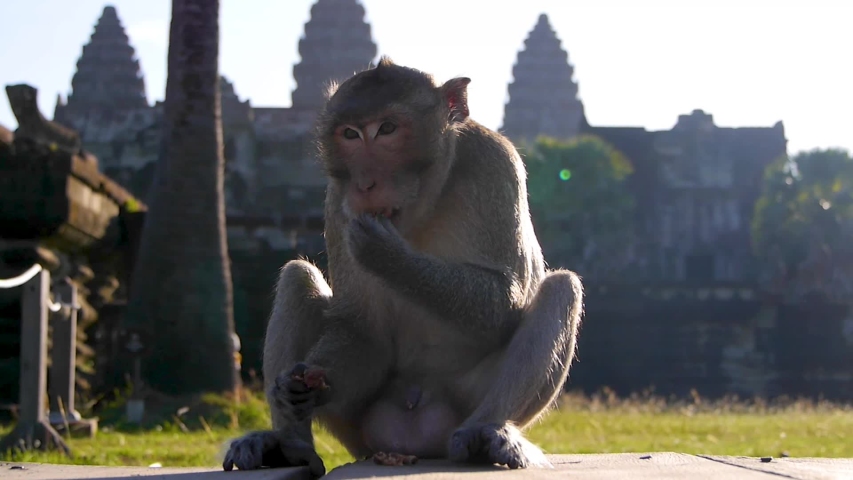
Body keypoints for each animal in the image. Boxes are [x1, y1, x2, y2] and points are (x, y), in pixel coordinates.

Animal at [222, 57, 584, 477]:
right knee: (297, 277)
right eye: (350, 134)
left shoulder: (495, 162)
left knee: (561, 288)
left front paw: (387, 255)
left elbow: (505, 301)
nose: (364, 184)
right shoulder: (337, 199)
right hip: (357, 421)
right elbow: (360, 328)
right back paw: (287, 444)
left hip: (462, 404)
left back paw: (487, 433)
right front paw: (304, 387)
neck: (425, 203)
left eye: (388, 129)